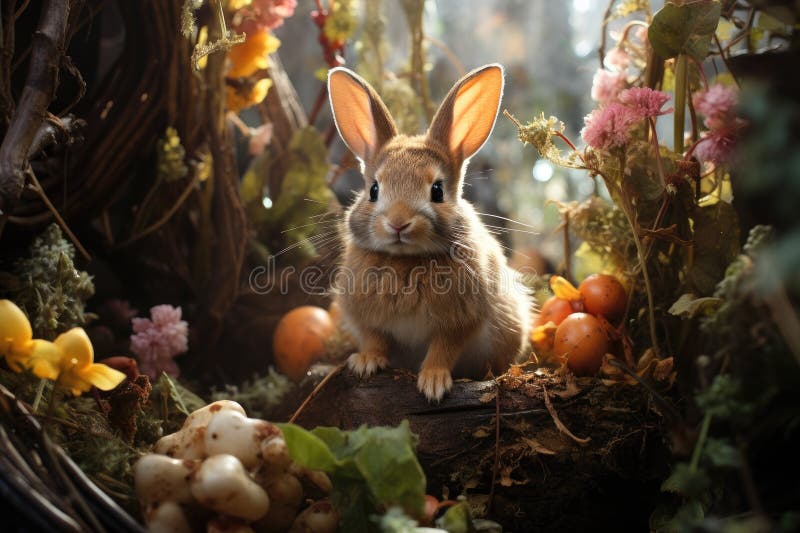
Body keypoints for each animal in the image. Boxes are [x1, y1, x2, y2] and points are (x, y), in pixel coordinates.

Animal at [327, 64, 532, 401]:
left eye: (437, 191)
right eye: (373, 190)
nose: (398, 222)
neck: (406, 260)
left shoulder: (459, 322)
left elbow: (443, 349)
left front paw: (434, 383)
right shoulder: (367, 317)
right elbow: (375, 339)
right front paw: (367, 362)